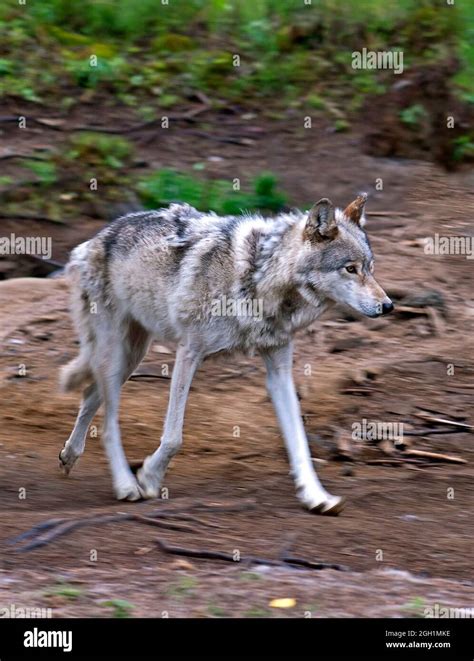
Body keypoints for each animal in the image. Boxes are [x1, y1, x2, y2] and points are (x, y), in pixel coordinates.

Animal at [59, 193, 393, 514]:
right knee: (108, 424)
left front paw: (316, 496)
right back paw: (126, 484)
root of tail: (97, 237)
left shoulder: (279, 370)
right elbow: (174, 437)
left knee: (90, 394)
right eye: (350, 269)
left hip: (131, 357)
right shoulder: (189, 352)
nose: (388, 305)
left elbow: (299, 442)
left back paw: (70, 455)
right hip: (116, 354)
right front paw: (150, 478)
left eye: (371, 268)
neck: (259, 279)